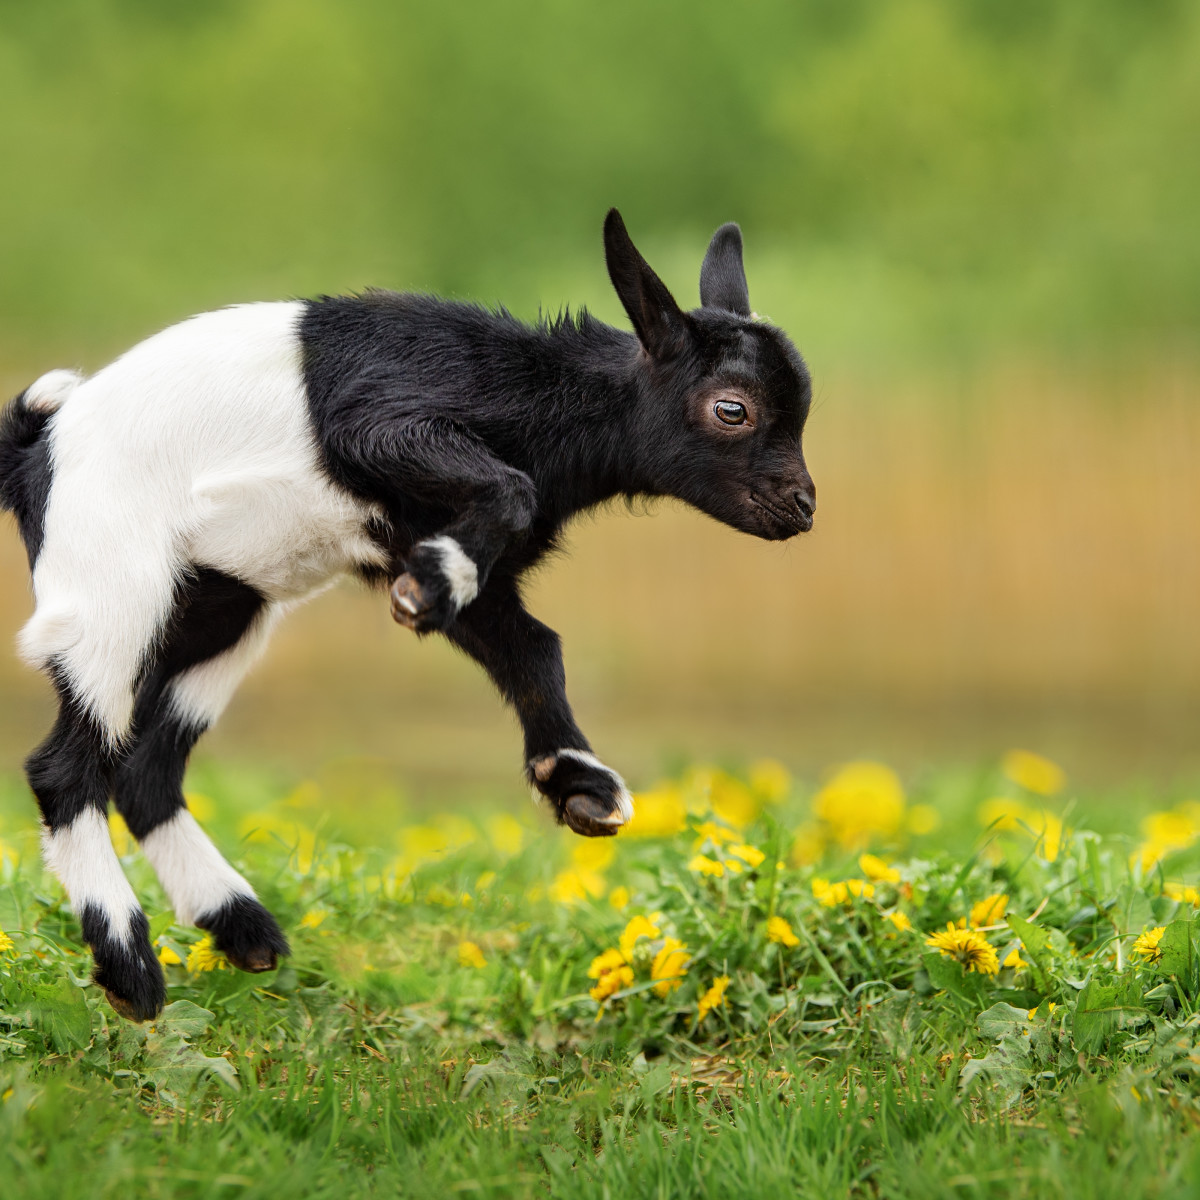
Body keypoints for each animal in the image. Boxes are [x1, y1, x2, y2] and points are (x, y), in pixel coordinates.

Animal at [0, 210, 815, 1021]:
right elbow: (510, 493)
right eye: (732, 409)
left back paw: (241, 927)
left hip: (219, 605)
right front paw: (430, 593)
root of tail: (36, 451)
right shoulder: (382, 422)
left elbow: (535, 648)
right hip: (112, 588)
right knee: (64, 769)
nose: (804, 509)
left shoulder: (458, 565)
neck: (543, 397)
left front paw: (575, 782)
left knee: (146, 767)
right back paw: (131, 967)